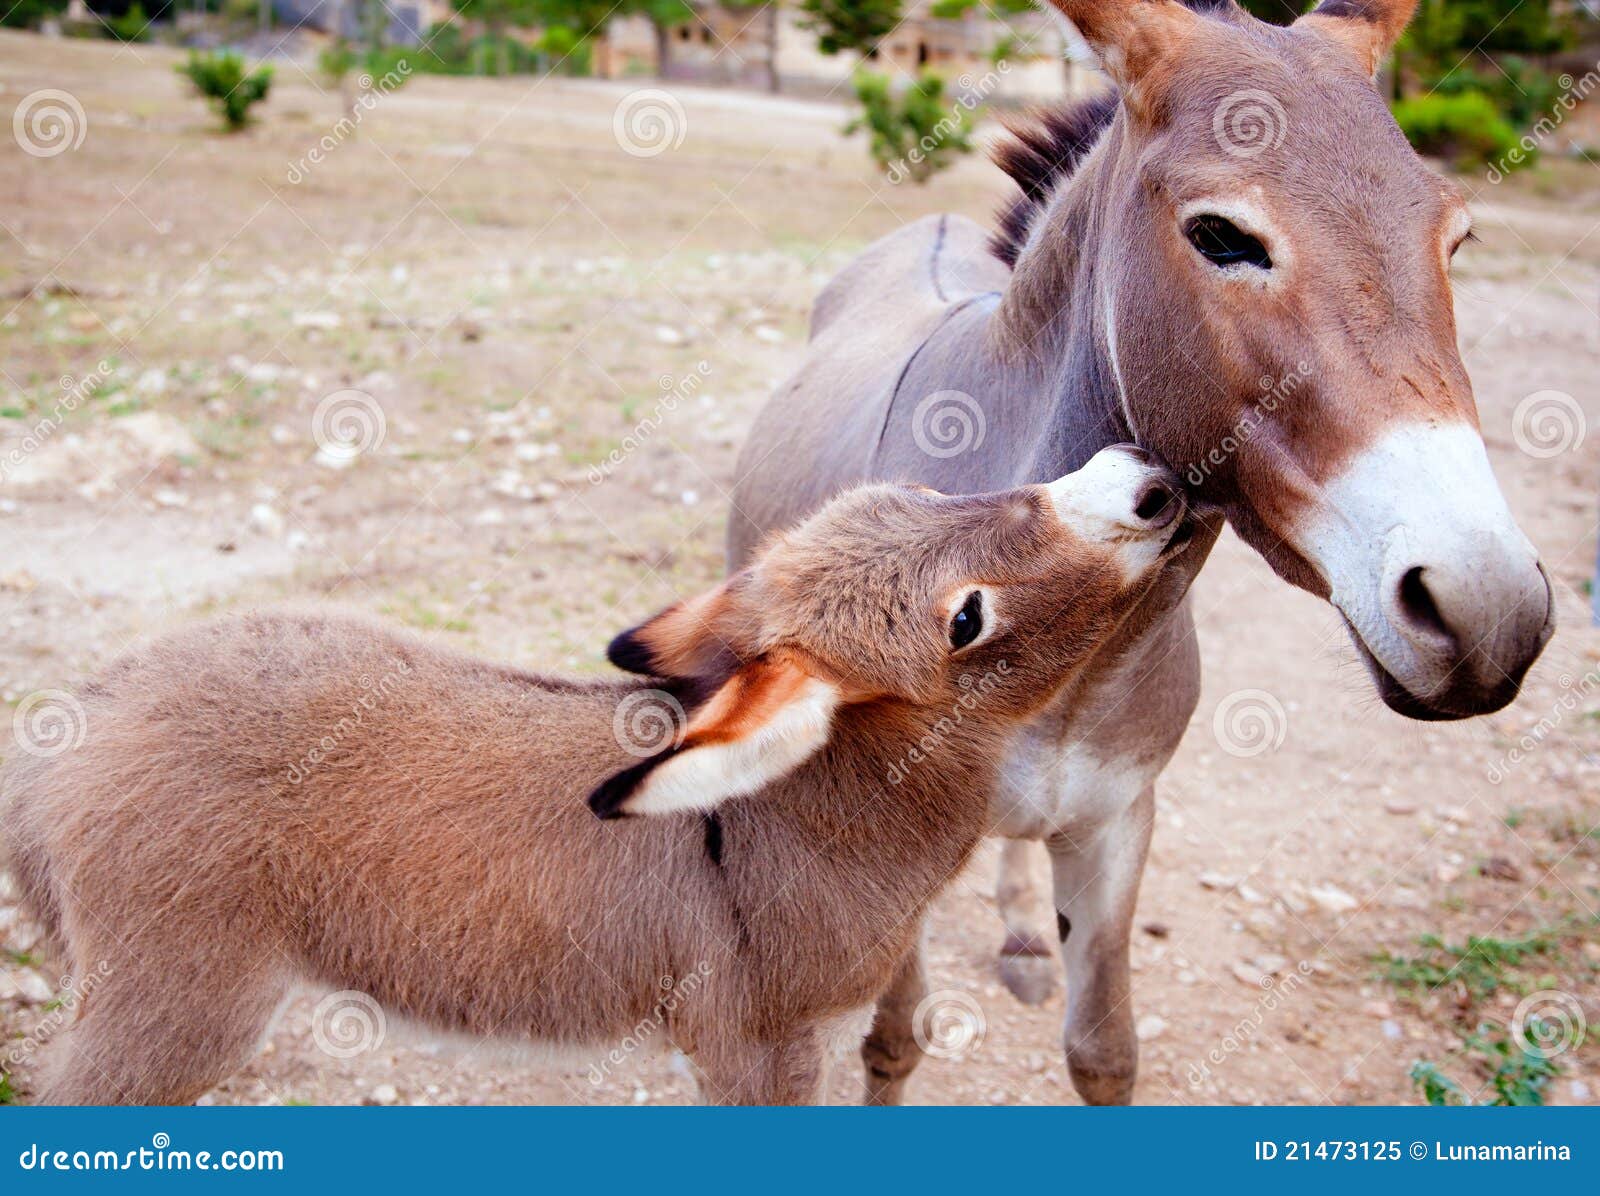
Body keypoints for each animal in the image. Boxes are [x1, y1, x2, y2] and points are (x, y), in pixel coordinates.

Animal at [721, 0, 1553, 1104]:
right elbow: (894, 1035)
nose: (1489, 609)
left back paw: (1023, 934)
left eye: (1456, 237)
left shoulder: (1118, 819)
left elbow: (1104, 1051)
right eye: (1222, 236)